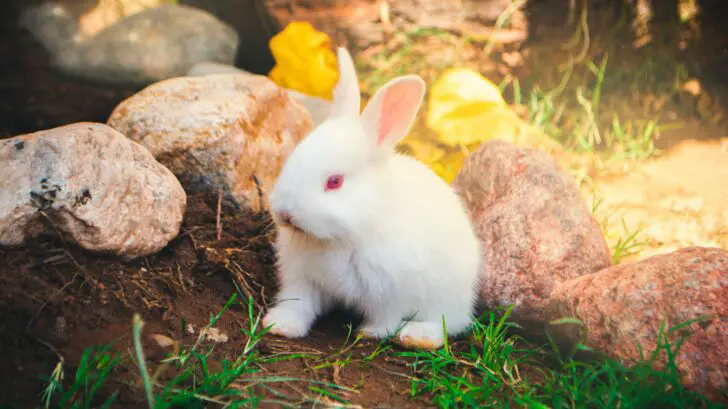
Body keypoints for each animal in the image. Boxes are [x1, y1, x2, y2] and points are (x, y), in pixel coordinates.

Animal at [261, 47, 482, 350]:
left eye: (334, 182)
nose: (284, 213)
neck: (340, 238)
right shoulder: (301, 279)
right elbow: (298, 304)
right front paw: (280, 325)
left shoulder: (392, 291)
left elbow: (387, 316)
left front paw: (371, 333)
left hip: (446, 295)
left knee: (449, 322)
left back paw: (418, 337)